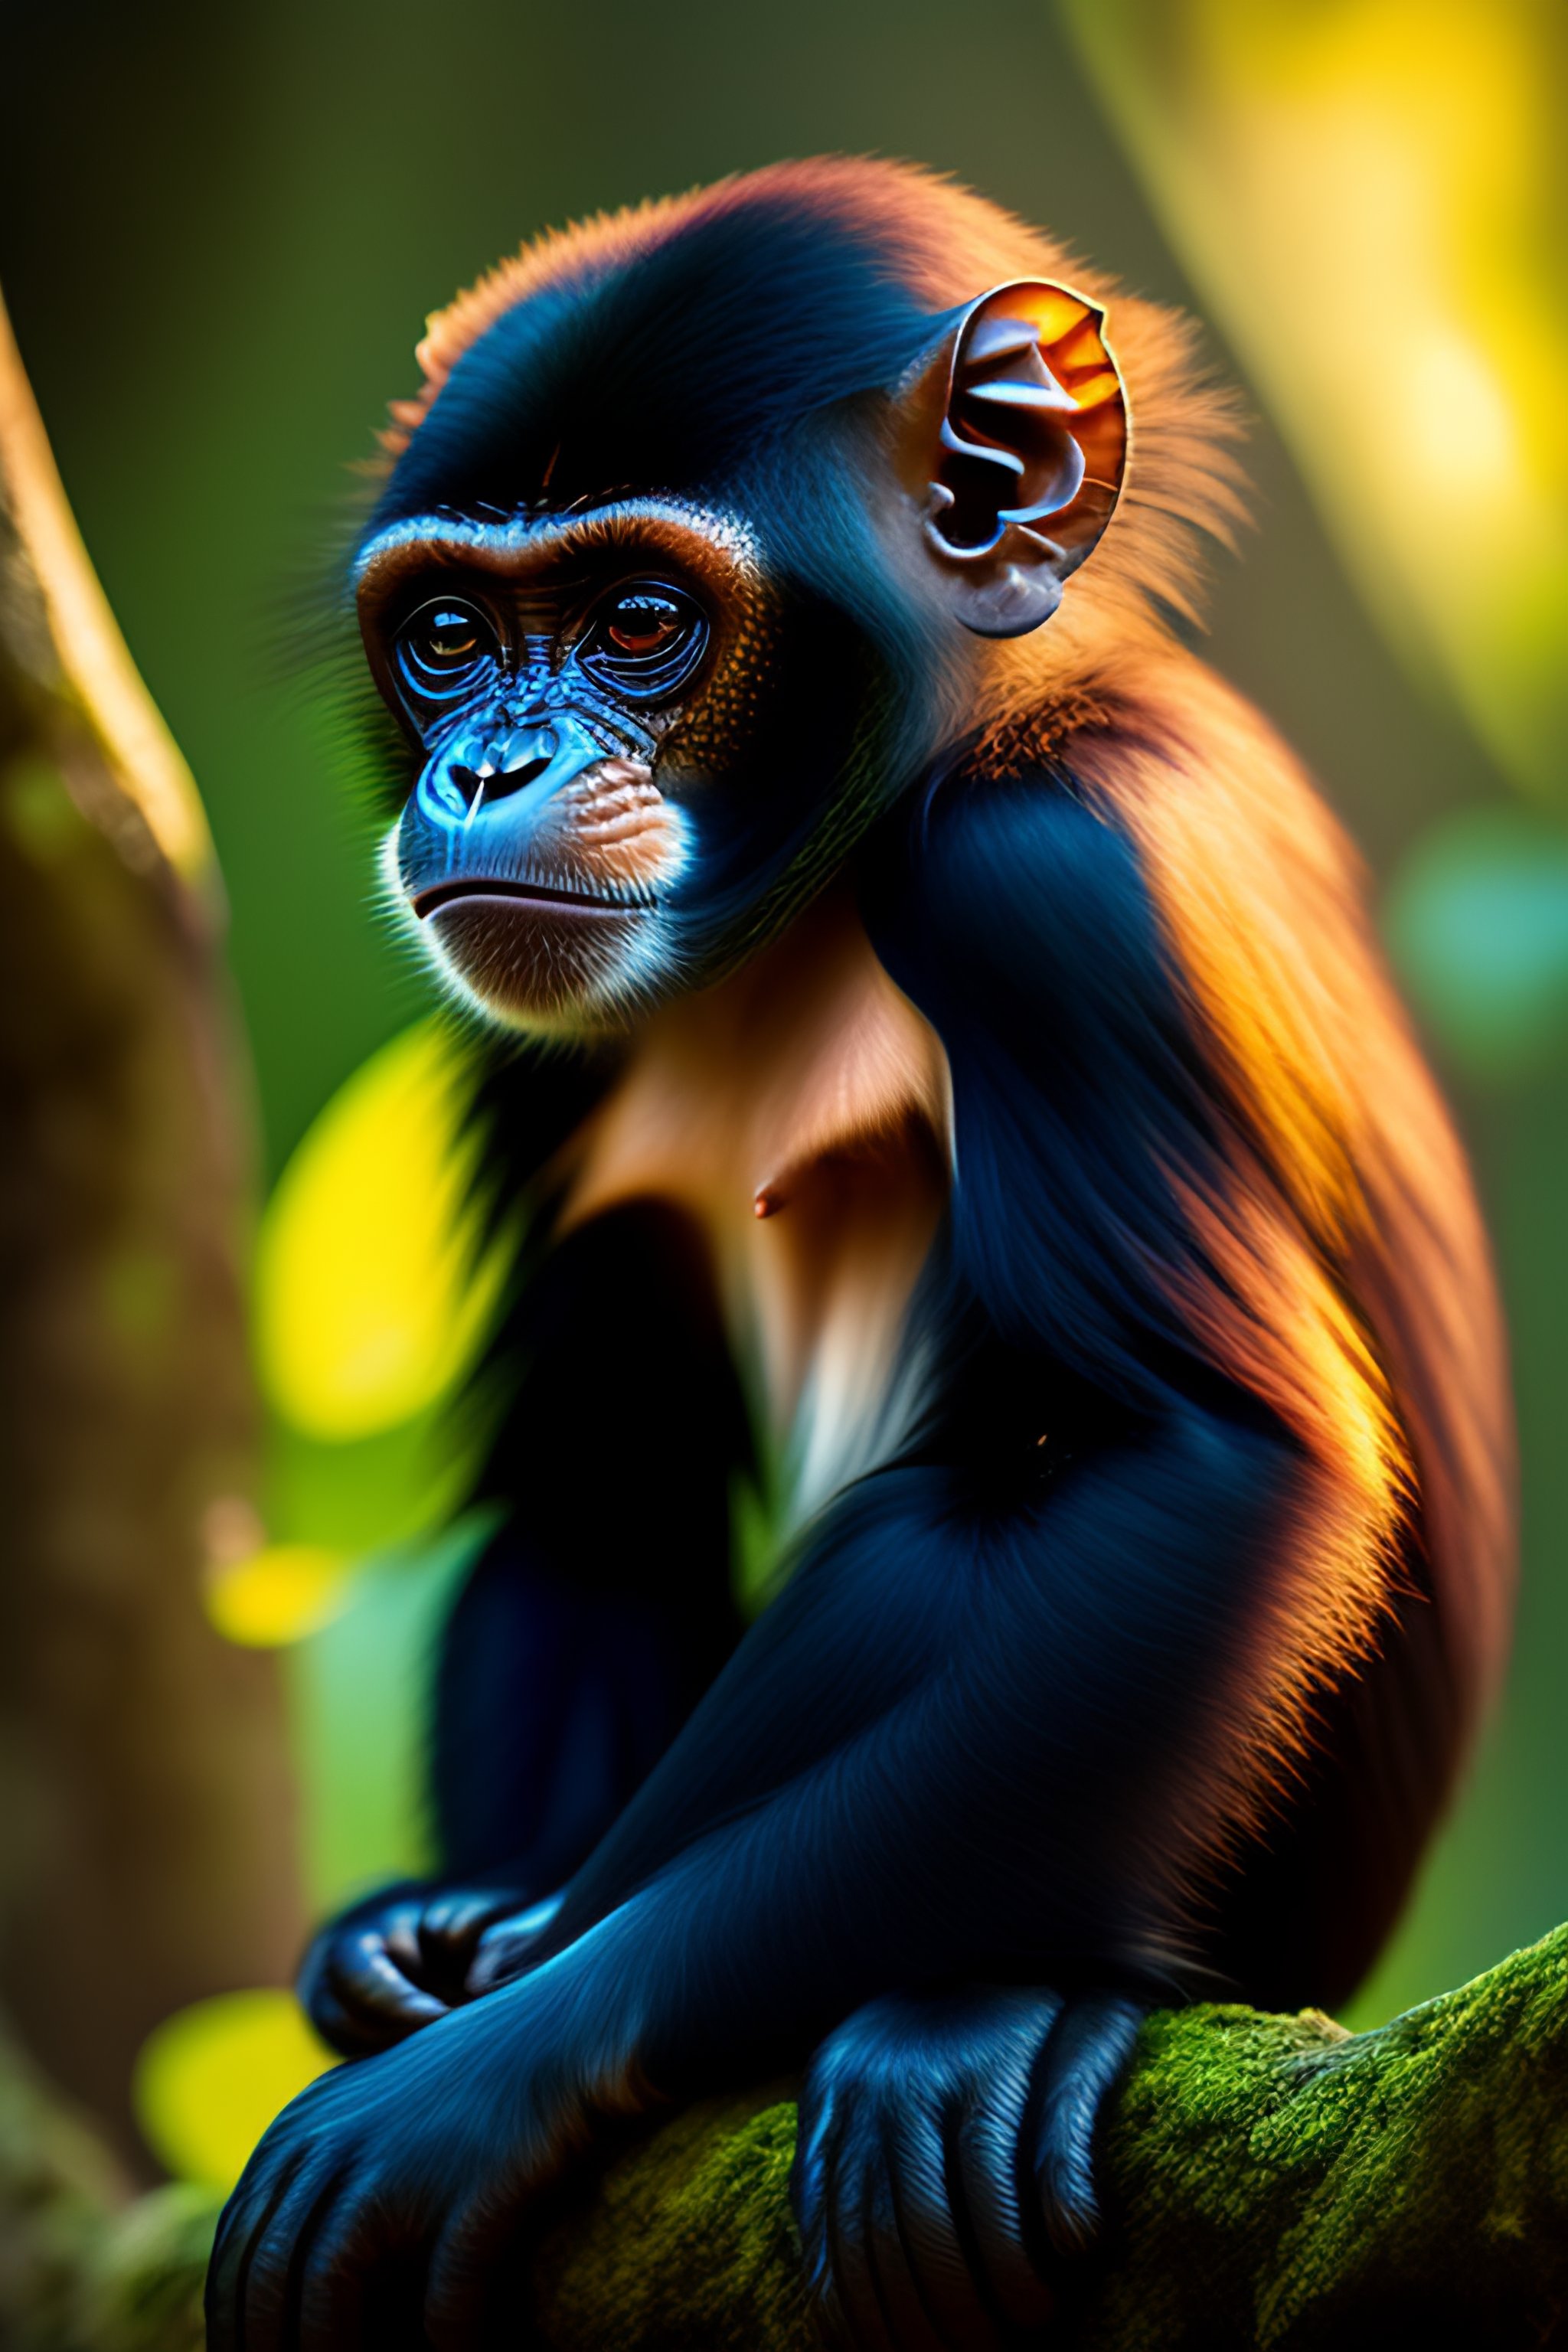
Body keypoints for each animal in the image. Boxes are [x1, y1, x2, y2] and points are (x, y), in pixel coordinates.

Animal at [207, 158, 1514, 2352]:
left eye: (641, 623)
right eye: (450, 637)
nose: (486, 769)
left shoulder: (1043, 886)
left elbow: (1211, 1471)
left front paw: (472, 2073)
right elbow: (591, 1490)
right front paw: (431, 1945)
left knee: (954, 1526)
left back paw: (983, 2016)